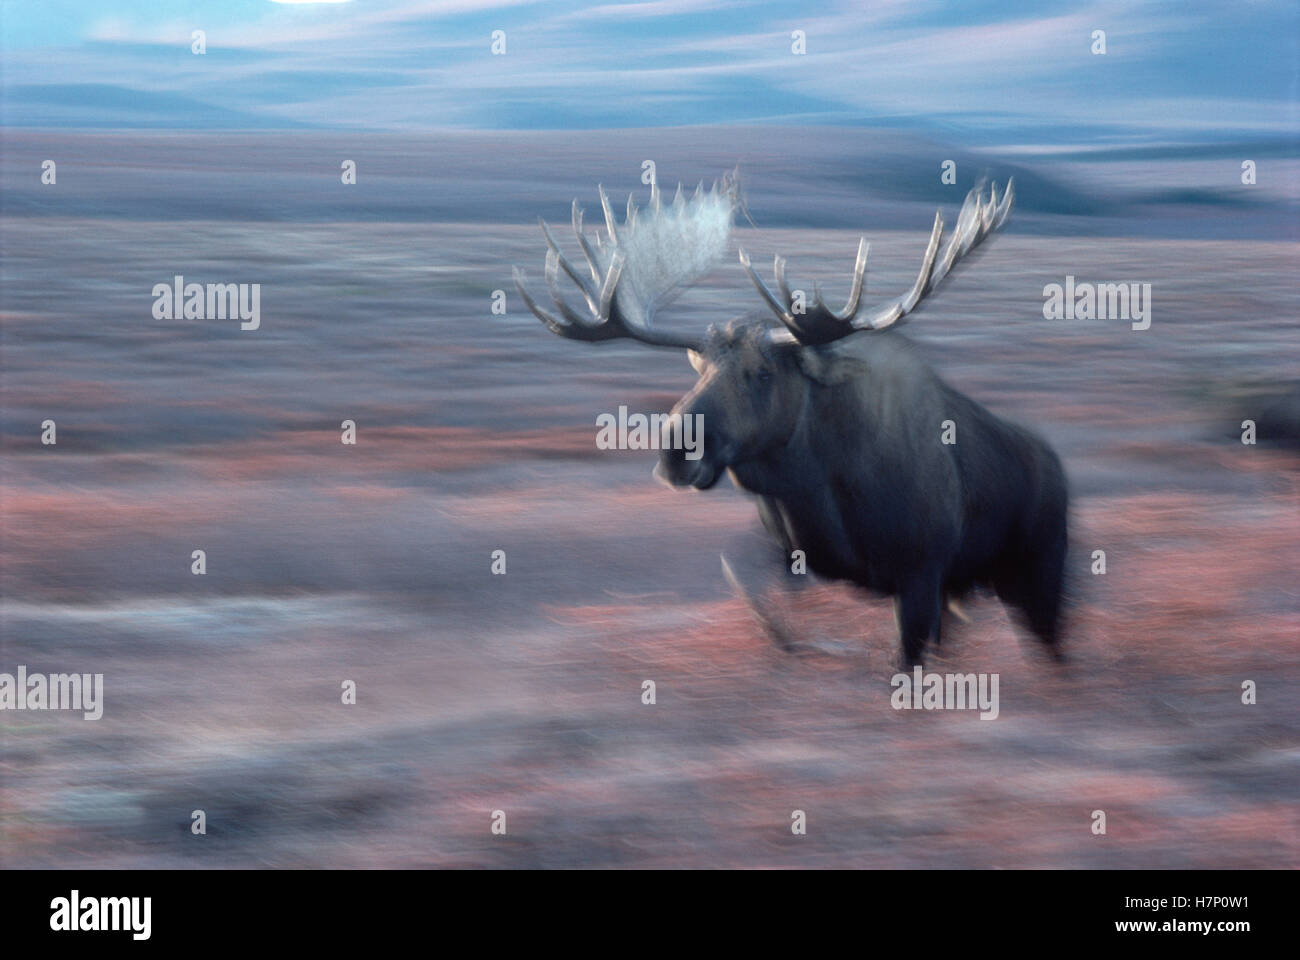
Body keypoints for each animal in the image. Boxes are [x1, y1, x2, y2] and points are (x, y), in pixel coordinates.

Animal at [513, 175, 1068, 668]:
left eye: (762, 372)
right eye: (698, 368)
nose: (675, 452)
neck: (822, 492)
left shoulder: (921, 574)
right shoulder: (789, 556)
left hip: (1039, 575)